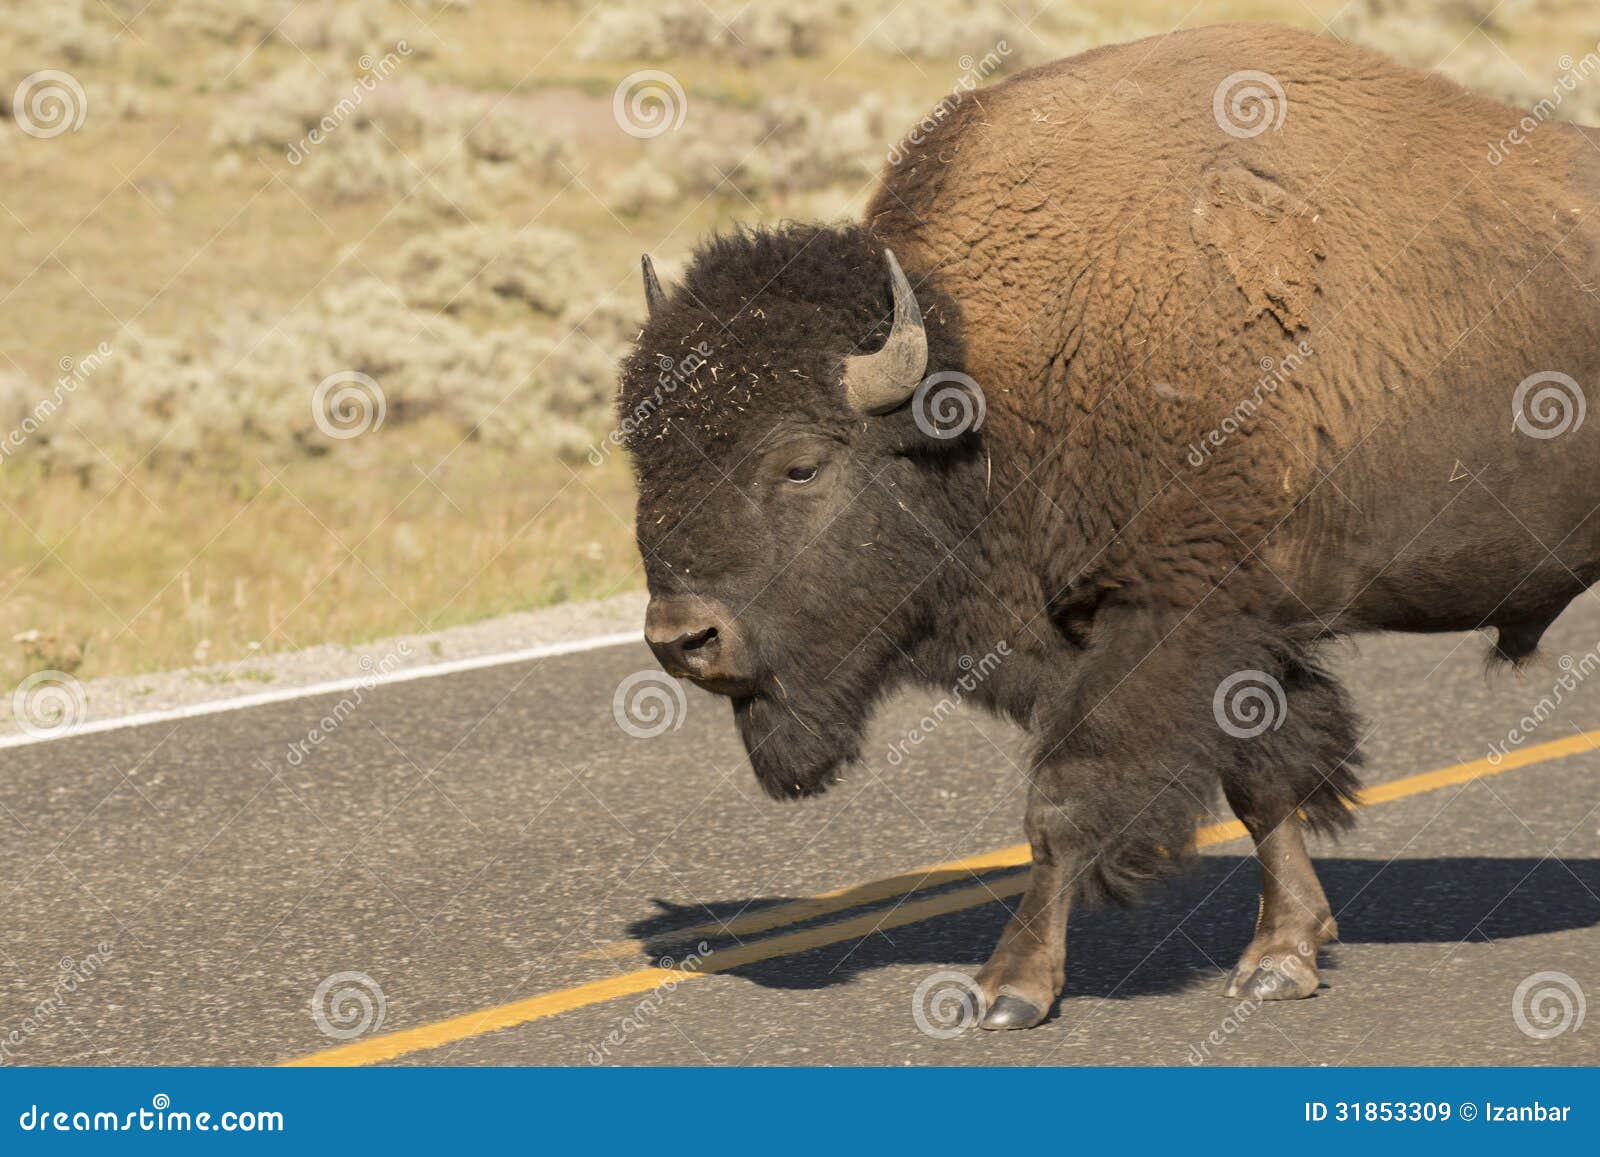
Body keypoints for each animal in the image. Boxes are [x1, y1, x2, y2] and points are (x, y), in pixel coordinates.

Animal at [617, 24, 1600, 1029]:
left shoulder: (1173, 619)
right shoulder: (1220, 637)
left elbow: (1064, 798)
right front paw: (1285, 952)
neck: (989, 382)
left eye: (801, 464)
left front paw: (1010, 988)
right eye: (641, 453)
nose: (681, 638)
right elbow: (1259, 782)